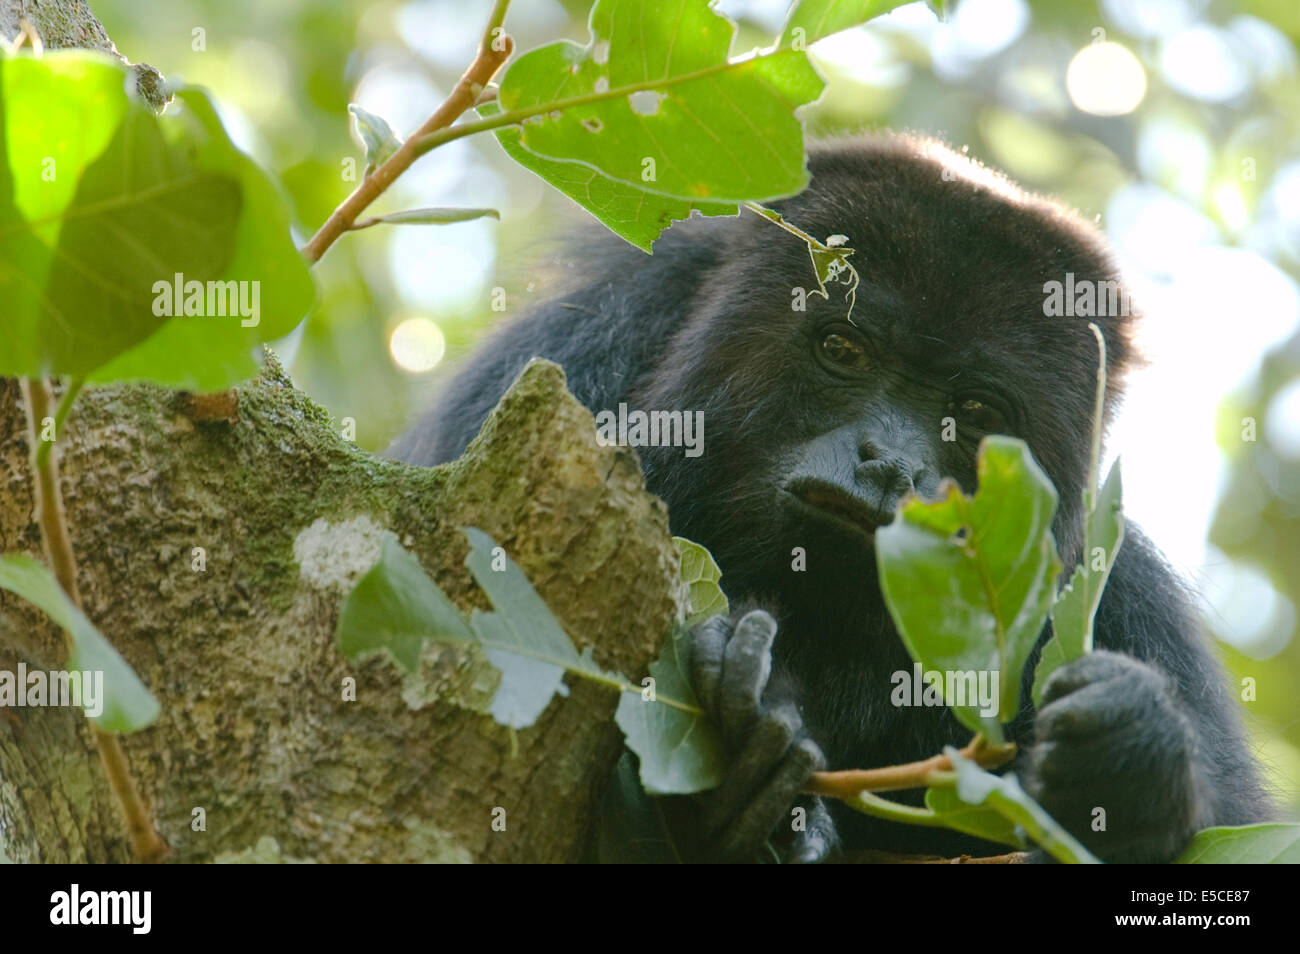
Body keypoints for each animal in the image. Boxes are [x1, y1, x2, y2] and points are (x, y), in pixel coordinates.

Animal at [390, 133, 1274, 863]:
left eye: (976, 410)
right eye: (843, 348)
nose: (890, 465)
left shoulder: (1114, 590)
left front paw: (1129, 758)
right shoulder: (559, 370)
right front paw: (753, 718)